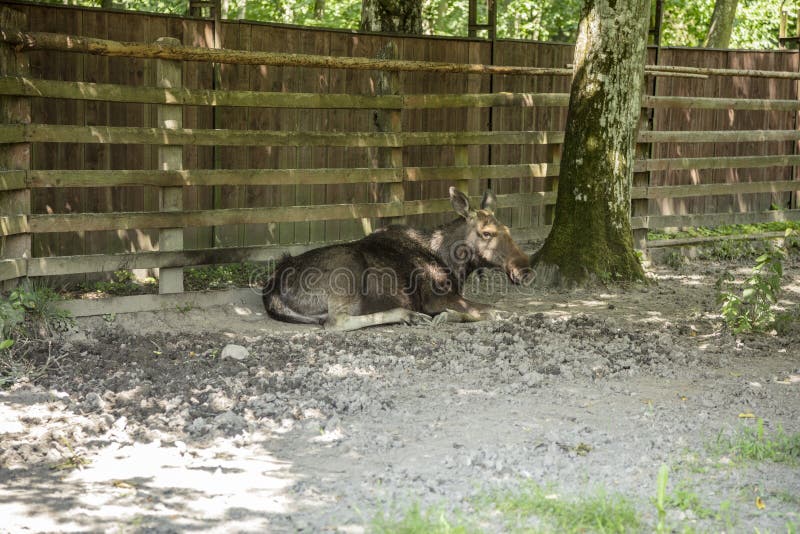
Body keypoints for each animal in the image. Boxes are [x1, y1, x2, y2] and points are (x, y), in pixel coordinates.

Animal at [262, 187, 533, 331]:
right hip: (348, 273)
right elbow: (496, 310)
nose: (525, 269)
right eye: (487, 233)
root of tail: (271, 290)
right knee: (335, 321)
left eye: (508, 228)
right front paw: (448, 316)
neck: (455, 266)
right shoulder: (436, 298)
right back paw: (408, 315)